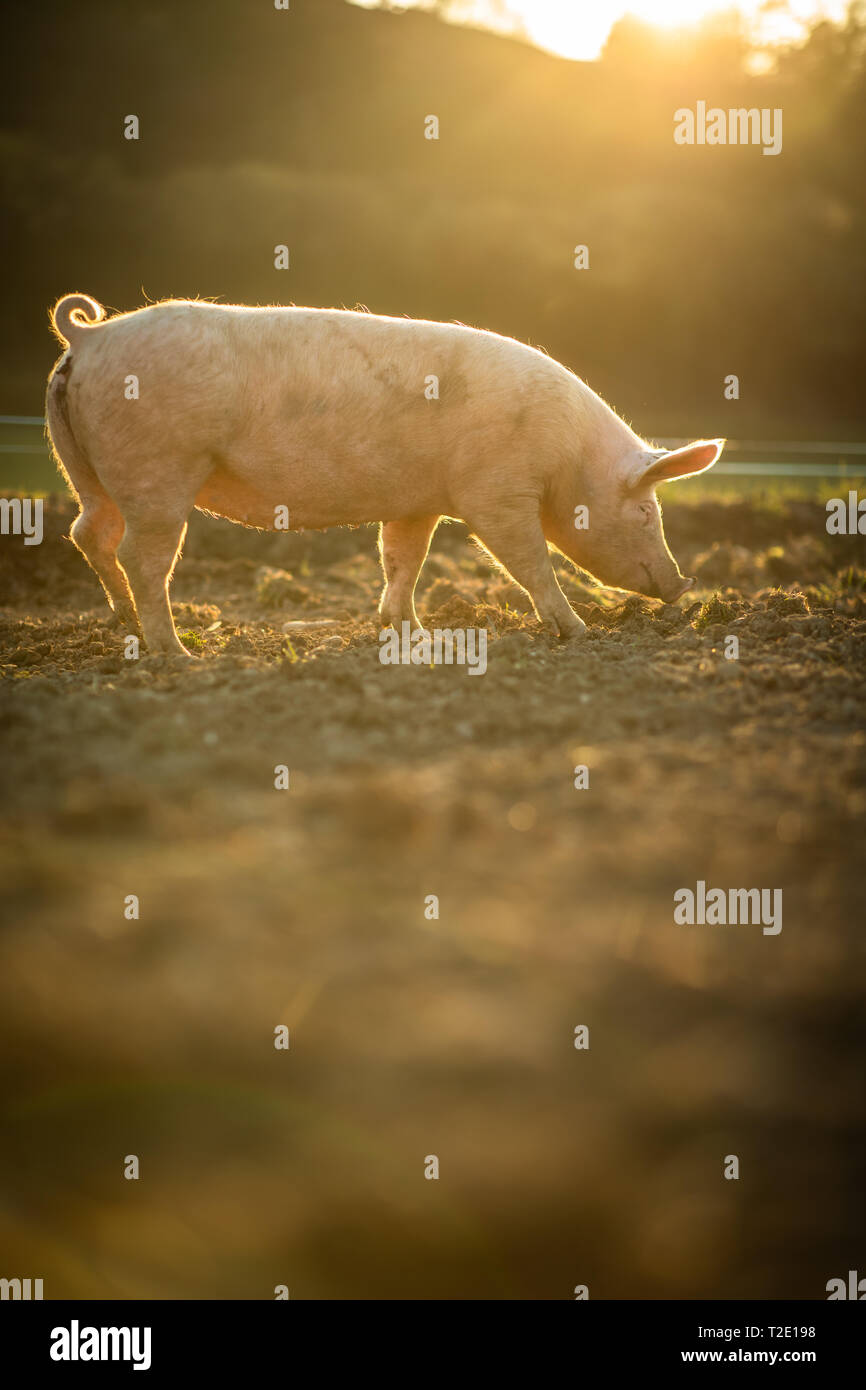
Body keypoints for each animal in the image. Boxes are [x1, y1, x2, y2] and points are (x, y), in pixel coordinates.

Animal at [46, 293, 724, 658]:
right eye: (646, 511)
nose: (683, 584)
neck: (568, 456)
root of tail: (90, 335)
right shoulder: (495, 491)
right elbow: (528, 560)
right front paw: (576, 632)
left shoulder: (418, 501)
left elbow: (403, 558)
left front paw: (409, 631)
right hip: (159, 471)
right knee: (142, 556)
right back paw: (178, 655)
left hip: (88, 472)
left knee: (88, 533)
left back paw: (126, 624)